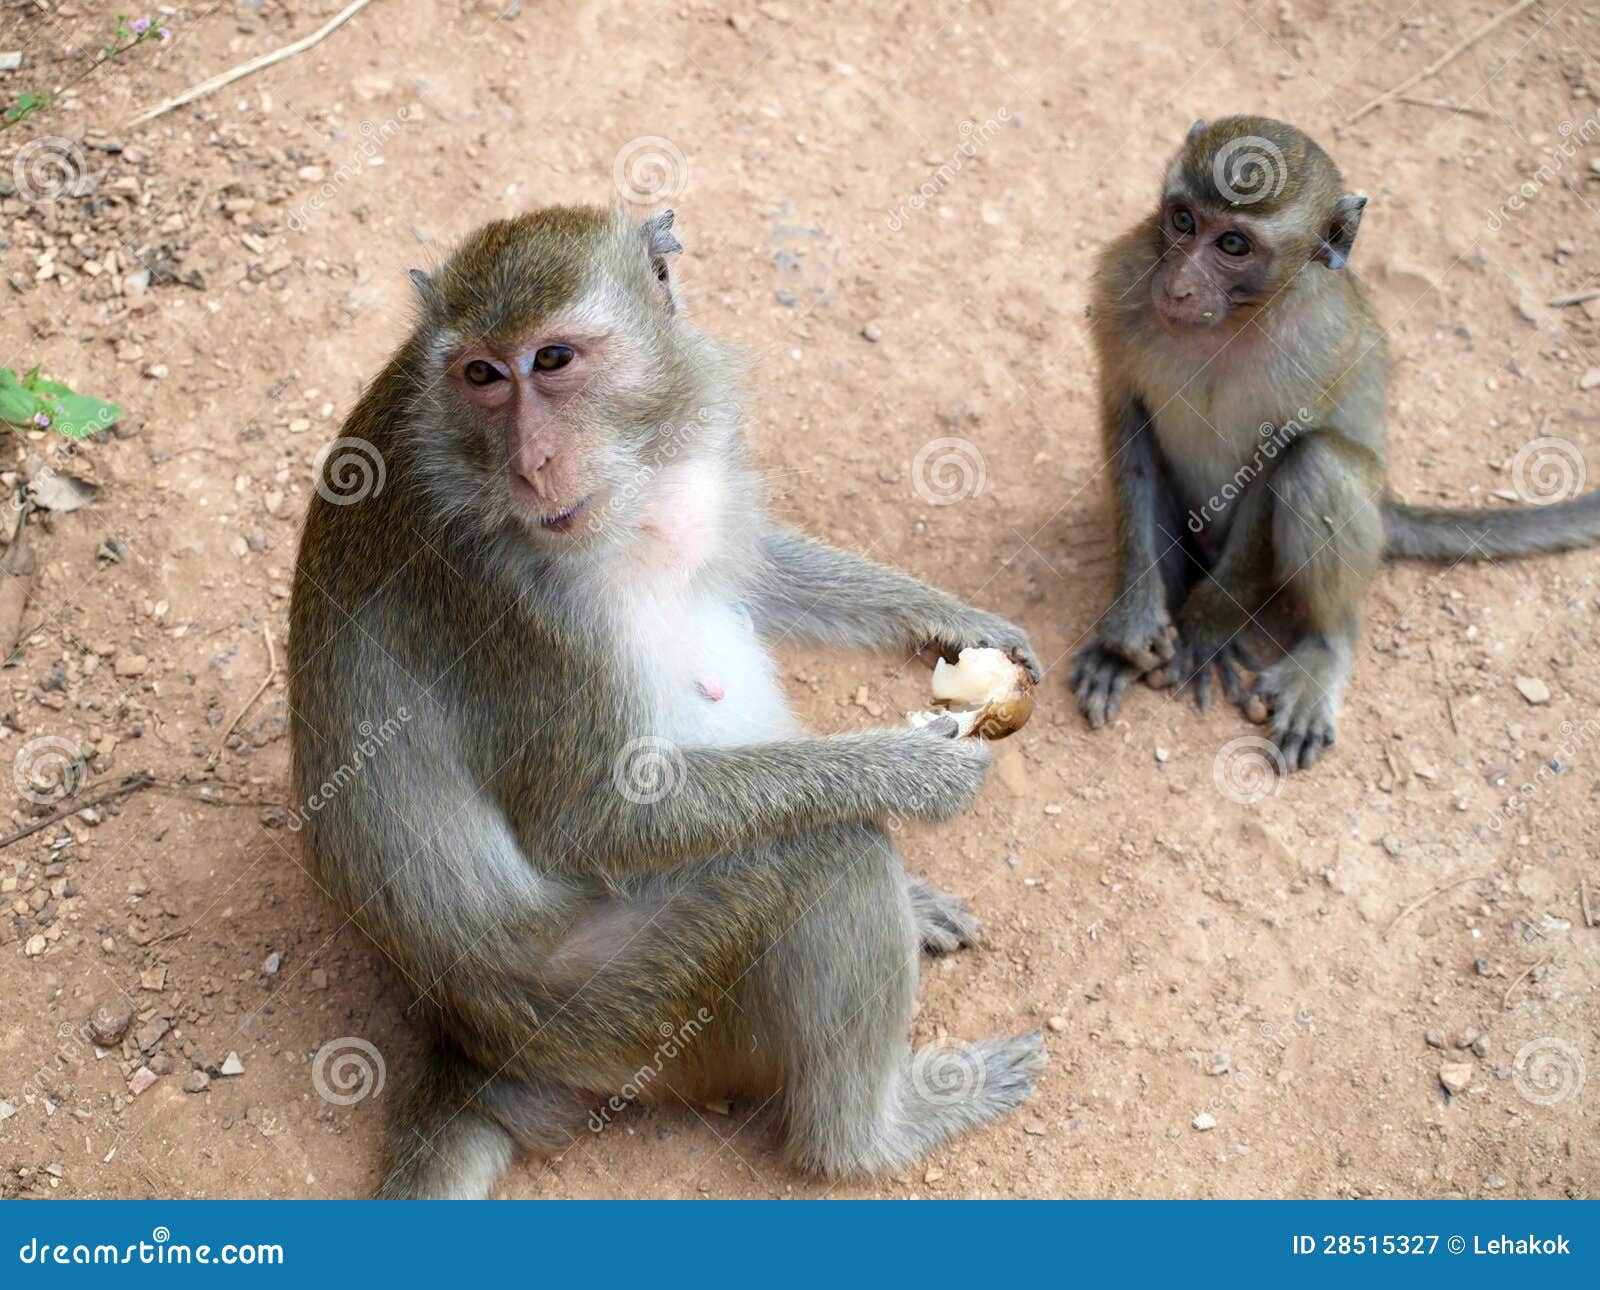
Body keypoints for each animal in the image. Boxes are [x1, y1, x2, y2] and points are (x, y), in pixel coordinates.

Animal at [287, 206, 1047, 1199]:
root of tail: (475, 1047)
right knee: (829, 857)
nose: (532, 464)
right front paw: (914, 770)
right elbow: (591, 816)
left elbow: (751, 570)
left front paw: (953, 622)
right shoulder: (500, 606)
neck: (633, 479)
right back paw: (872, 1134)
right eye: (481, 376)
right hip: (631, 1013)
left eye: (553, 360)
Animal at [1071, 115, 1600, 770]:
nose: (1178, 286)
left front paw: (1206, 629)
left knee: (1316, 464)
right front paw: (1131, 626)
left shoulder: (1322, 343)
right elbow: (1129, 423)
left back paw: (1326, 645)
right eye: (1184, 220)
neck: (1236, 320)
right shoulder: (1125, 281)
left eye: (1233, 245)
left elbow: (1281, 457)